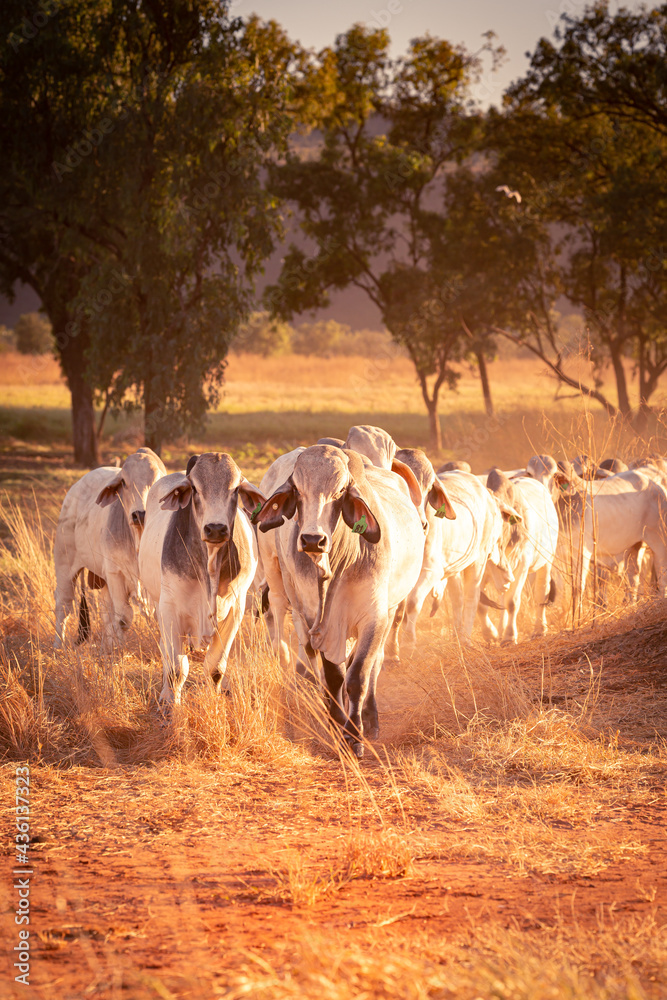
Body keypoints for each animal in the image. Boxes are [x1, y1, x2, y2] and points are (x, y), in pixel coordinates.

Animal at [53, 447, 166, 649]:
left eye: (156, 481)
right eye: (124, 482)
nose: (139, 514)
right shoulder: (116, 573)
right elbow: (123, 618)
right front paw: (120, 651)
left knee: (106, 610)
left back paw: (106, 646)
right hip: (65, 562)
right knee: (63, 604)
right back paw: (58, 646)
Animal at [138, 453, 266, 705]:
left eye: (236, 489)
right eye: (195, 488)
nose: (215, 528)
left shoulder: (236, 609)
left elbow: (215, 667)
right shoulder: (169, 608)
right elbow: (176, 668)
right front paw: (171, 704)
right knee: (166, 651)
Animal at [253, 444, 425, 756]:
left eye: (341, 491)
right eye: (297, 490)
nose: (312, 540)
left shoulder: (374, 617)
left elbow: (358, 675)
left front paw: (355, 736)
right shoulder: (318, 620)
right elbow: (334, 676)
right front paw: (337, 726)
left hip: (391, 609)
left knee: (374, 664)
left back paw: (370, 719)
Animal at [480, 469, 559, 643]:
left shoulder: (521, 565)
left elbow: (512, 602)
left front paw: (509, 637)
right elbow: (480, 604)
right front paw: (491, 634)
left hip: (546, 560)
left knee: (542, 592)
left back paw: (540, 629)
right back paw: (500, 630)